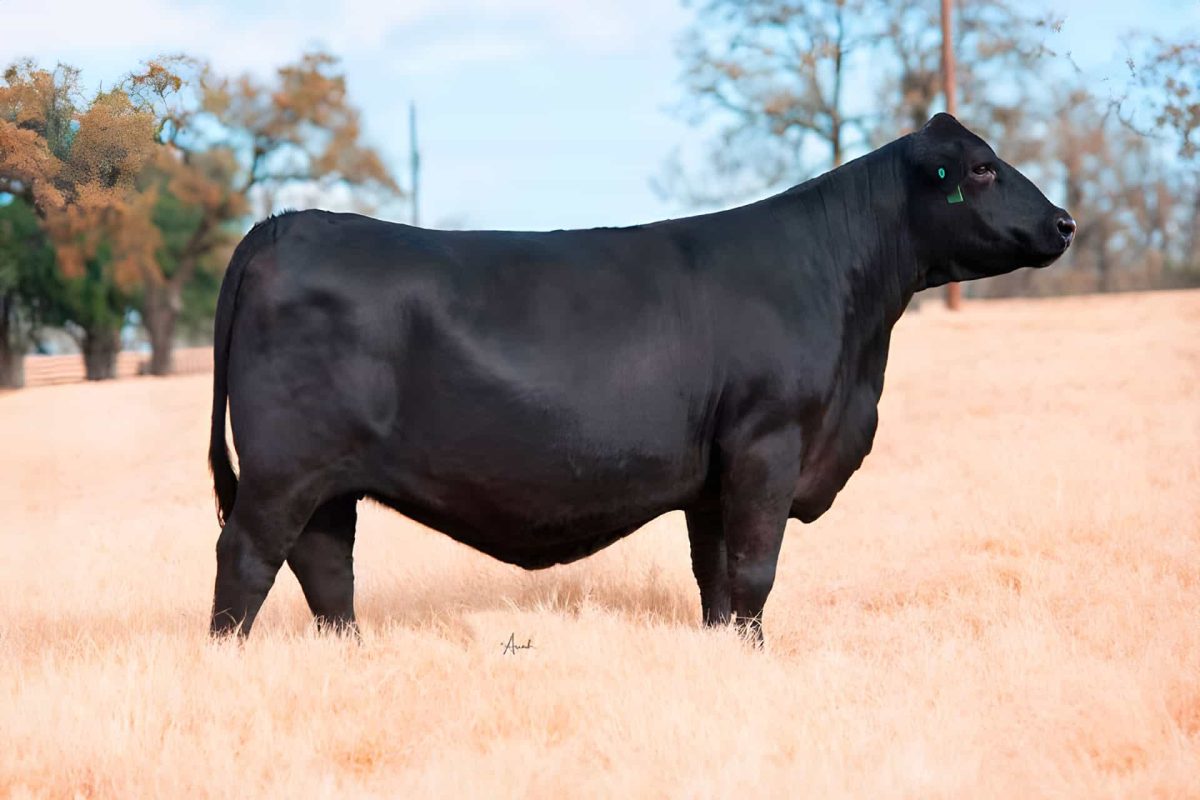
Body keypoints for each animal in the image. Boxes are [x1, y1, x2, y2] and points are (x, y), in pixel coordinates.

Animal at [208, 113, 1075, 642]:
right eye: (981, 168)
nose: (1065, 222)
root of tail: (287, 224)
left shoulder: (715, 477)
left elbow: (716, 579)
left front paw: (730, 655)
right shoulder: (768, 444)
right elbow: (755, 570)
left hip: (329, 479)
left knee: (327, 570)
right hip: (284, 470)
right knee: (246, 560)